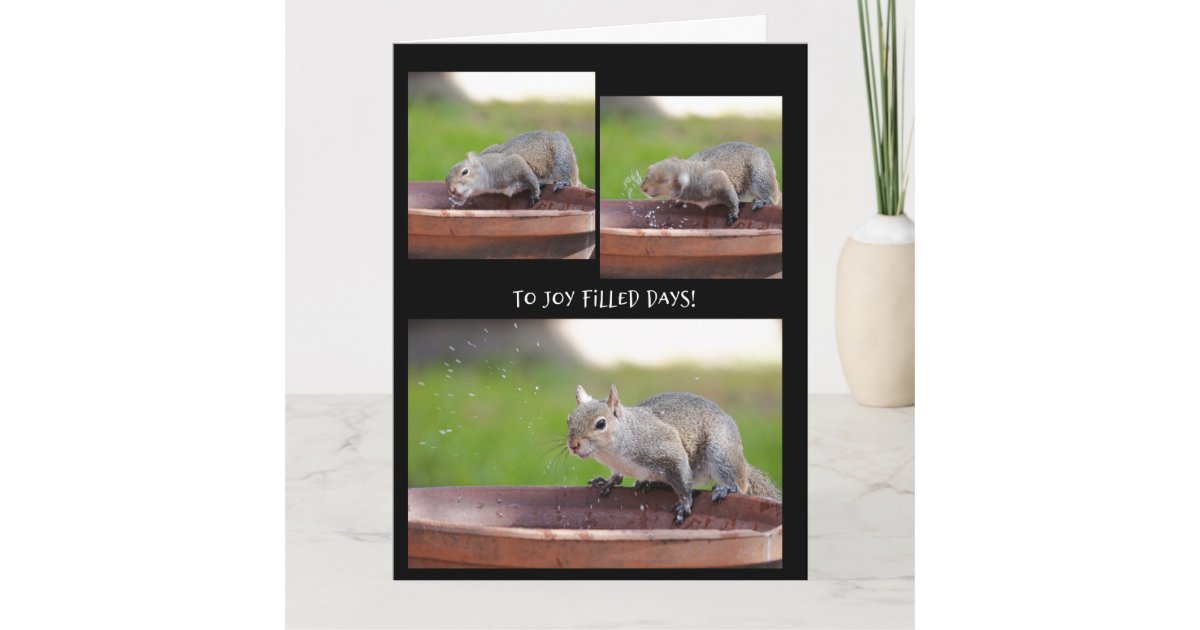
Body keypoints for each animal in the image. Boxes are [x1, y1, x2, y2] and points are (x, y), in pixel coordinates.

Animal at [445, 130, 582, 207]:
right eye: (446, 179)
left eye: (465, 172)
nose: (451, 190)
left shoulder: (512, 164)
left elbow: (529, 176)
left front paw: (535, 193)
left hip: (562, 156)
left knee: (567, 174)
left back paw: (562, 182)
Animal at [567, 384, 780, 526]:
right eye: (569, 419)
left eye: (601, 424)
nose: (573, 445)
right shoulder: (619, 465)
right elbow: (616, 476)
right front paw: (608, 481)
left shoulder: (666, 448)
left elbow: (682, 479)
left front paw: (684, 504)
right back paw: (647, 483)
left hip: (721, 452)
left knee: (740, 483)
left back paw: (727, 488)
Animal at [640, 141, 782, 225]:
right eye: (648, 171)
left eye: (664, 180)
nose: (643, 188)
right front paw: (679, 201)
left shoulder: (716, 180)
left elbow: (730, 195)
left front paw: (733, 212)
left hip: (760, 175)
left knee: (770, 196)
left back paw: (762, 201)